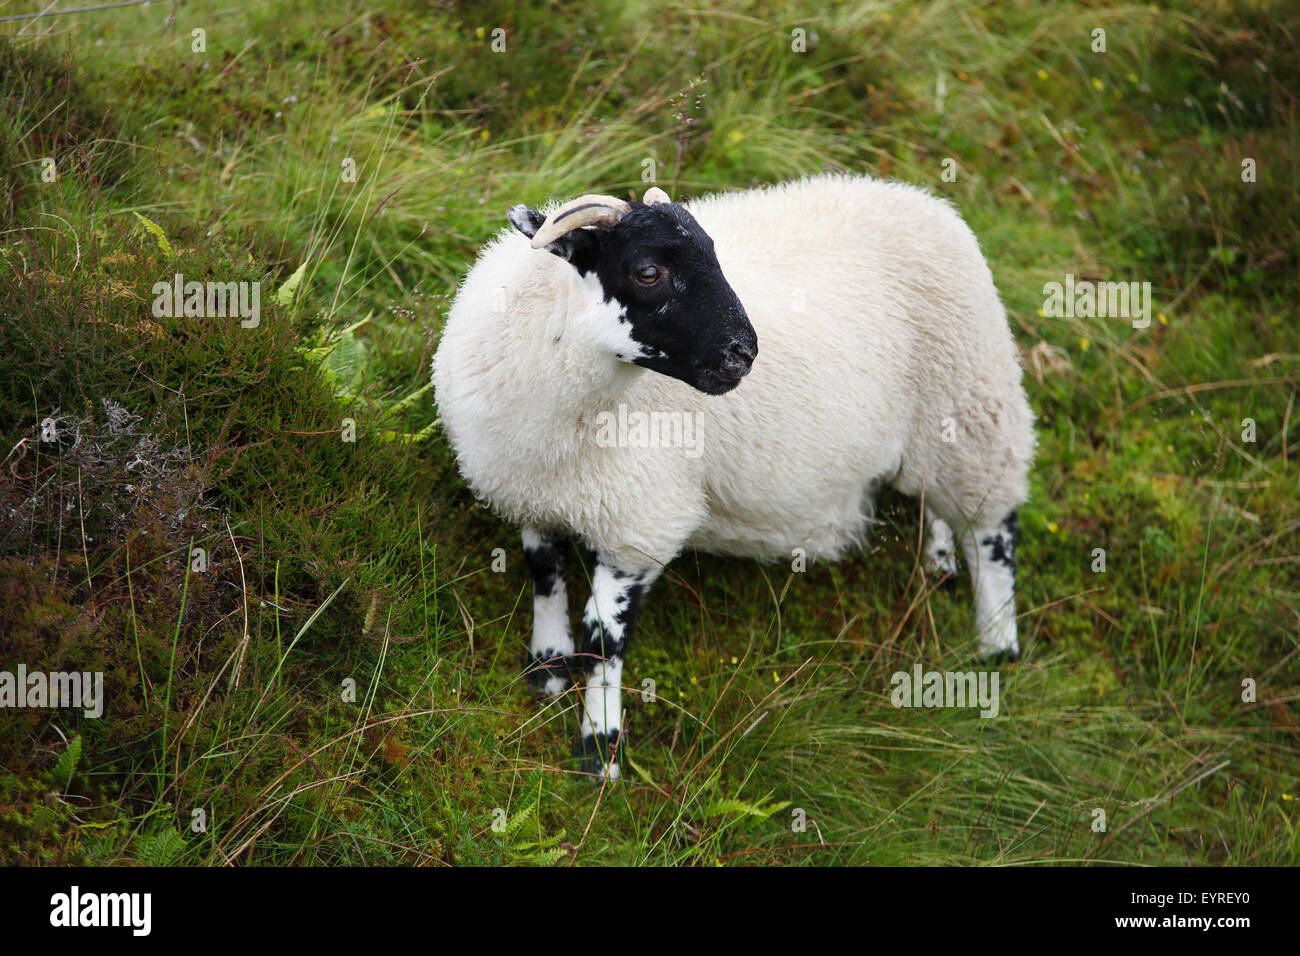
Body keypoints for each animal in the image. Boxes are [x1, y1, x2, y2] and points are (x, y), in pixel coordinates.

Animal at [431, 174, 1035, 780]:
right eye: (648, 271)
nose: (745, 353)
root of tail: (930, 203)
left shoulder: (641, 525)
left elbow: (604, 639)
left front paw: (599, 750)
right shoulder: (531, 491)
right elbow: (545, 572)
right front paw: (548, 667)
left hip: (972, 412)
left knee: (994, 530)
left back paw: (998, 643)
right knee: (939, 502)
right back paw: (940, 559)